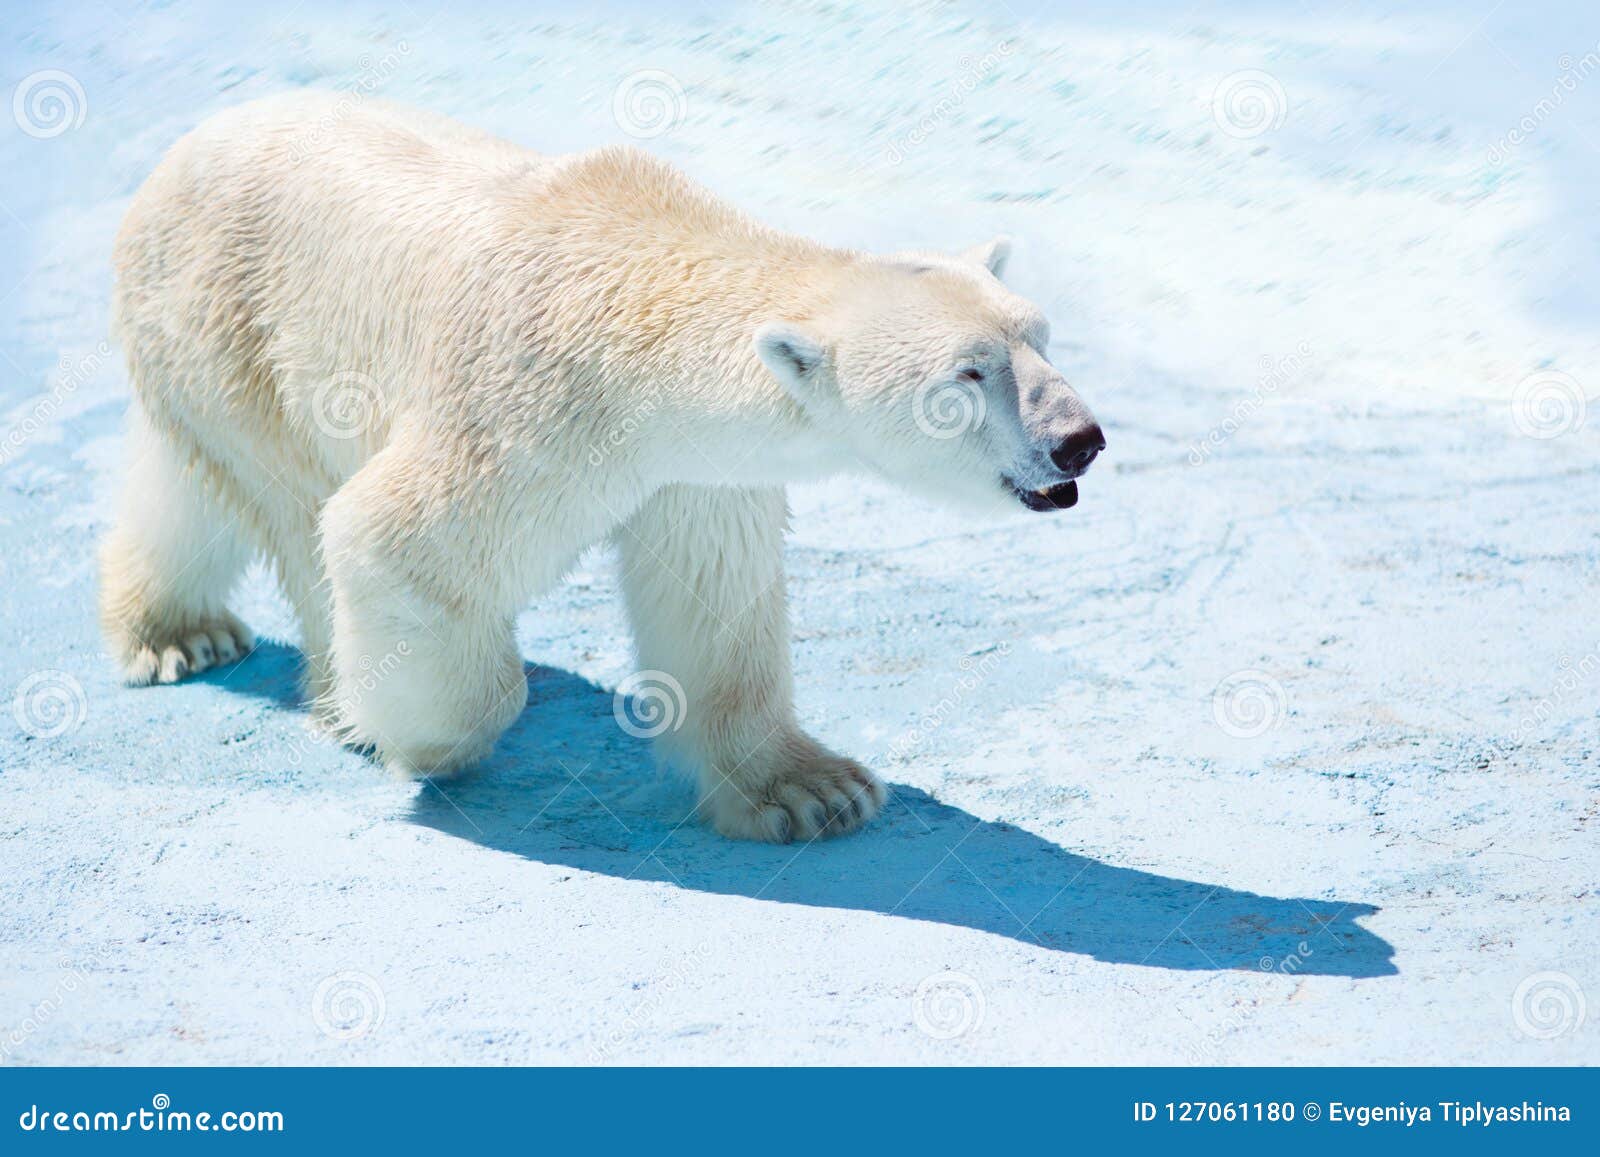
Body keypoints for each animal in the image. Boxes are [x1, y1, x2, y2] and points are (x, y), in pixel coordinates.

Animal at [99, 92, 1104, 842]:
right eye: (966, 374)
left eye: (1039, 335)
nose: (1079, 439)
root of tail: (174, 156)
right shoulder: (523, 409)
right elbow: (394, 538)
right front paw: (428, 740)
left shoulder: (697, 468)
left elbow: (714, 598)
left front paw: (811, 790)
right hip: (236, 324)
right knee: (293, 503)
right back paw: (325, 695)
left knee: (191, 483)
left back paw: (179, 632)